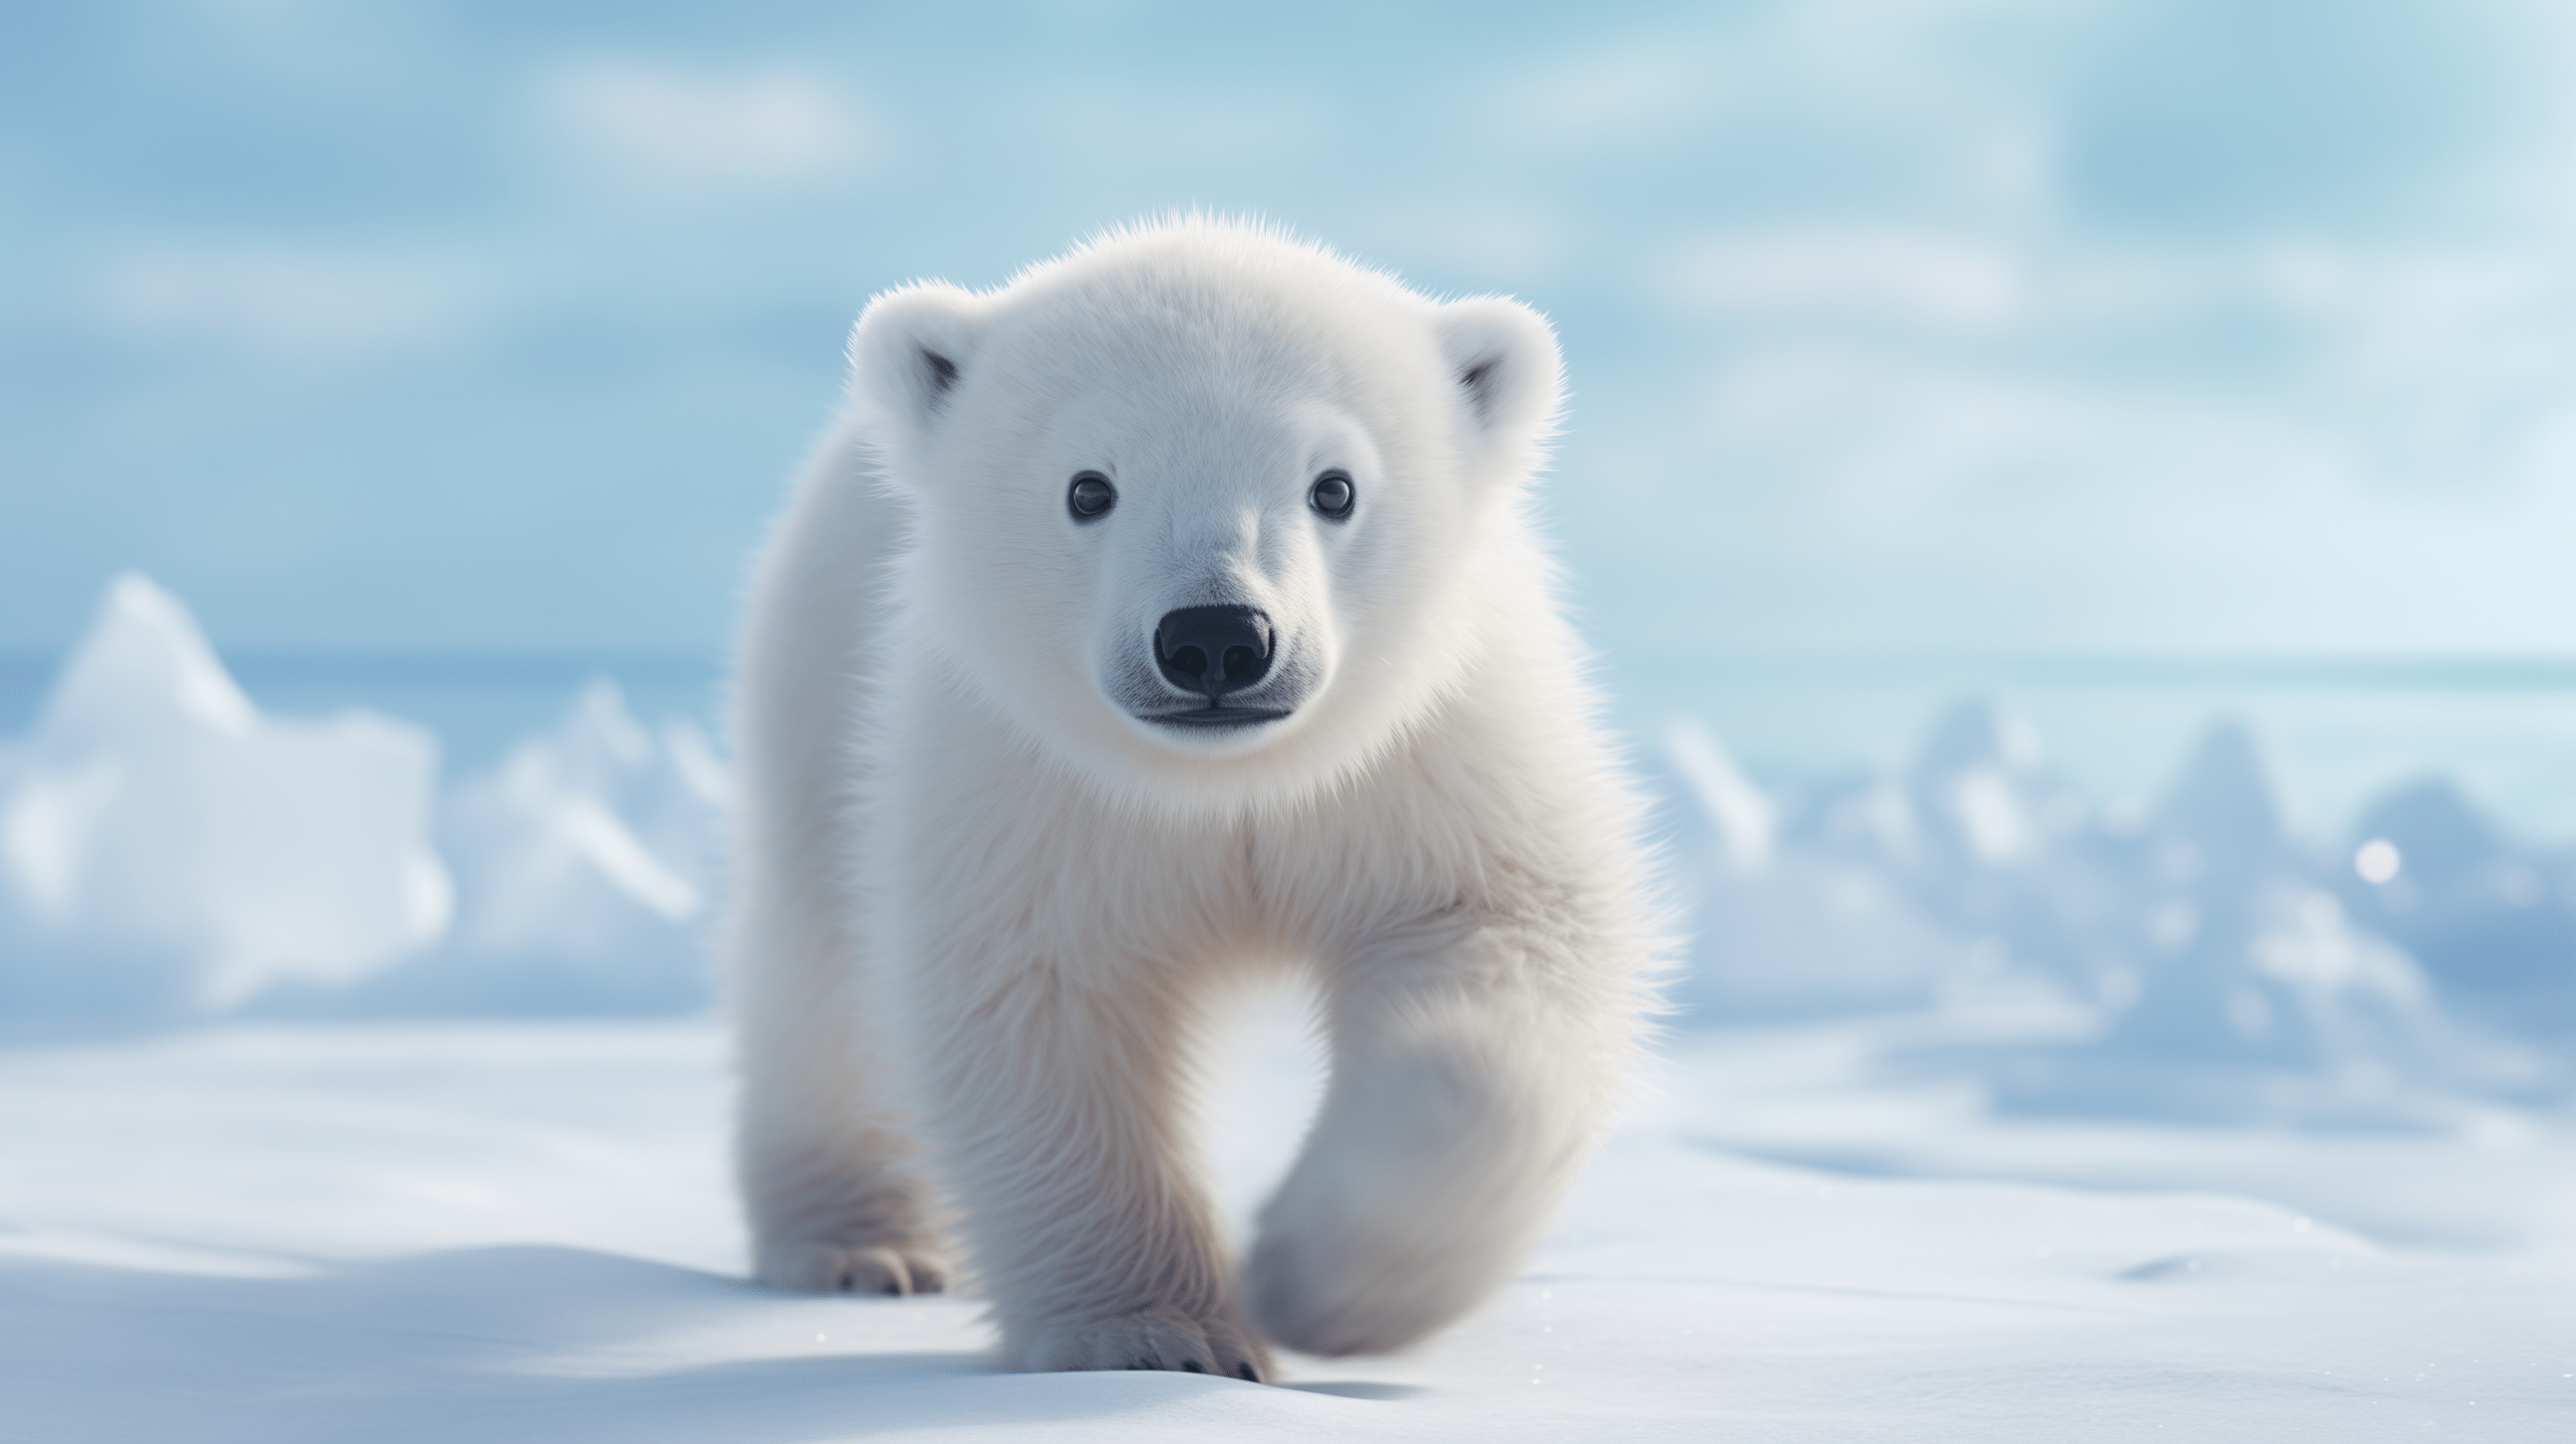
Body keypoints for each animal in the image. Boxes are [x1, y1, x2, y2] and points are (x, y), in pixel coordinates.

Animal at [725, 217, 1659, 1380]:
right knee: (821, 979)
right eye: (1088, 487)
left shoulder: (1432, 766)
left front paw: (1319, 1281)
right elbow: (1043, 1012)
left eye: (1334, 486)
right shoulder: (1028, 795)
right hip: (817, 694)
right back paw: (862, 1245)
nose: (1215, 638)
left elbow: (1498, 947)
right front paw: (1154, 1336)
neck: (1226, 790)